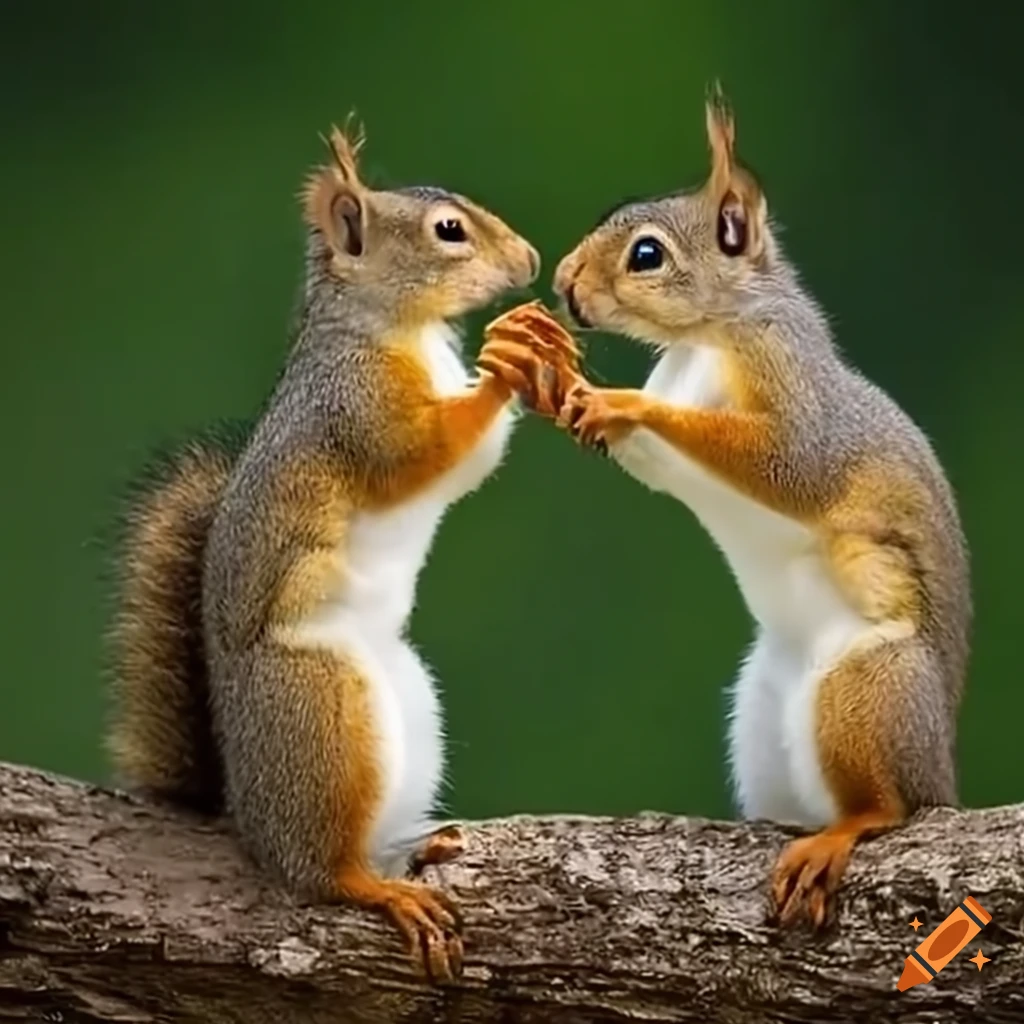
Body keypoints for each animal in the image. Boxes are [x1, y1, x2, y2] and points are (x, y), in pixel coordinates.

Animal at [106, 120, 543, 981]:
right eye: (449, 231)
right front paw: (505, 362)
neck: (390, 326)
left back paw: (420, 849)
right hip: (321, 717)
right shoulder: (359, 405)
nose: (533, 261)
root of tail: (247, 815)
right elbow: (425, 452)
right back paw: (381, 888)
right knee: (322, 874)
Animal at [481, 86, 971, 929]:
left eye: (646, 255)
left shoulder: (790, 392)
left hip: (870, 691)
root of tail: (940, 769)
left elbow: (782, 462)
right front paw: (547, 373)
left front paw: (618, 399)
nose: (566, 281)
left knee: (890, 808)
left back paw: (842, 835)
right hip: (757, 725)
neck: (709, 334)